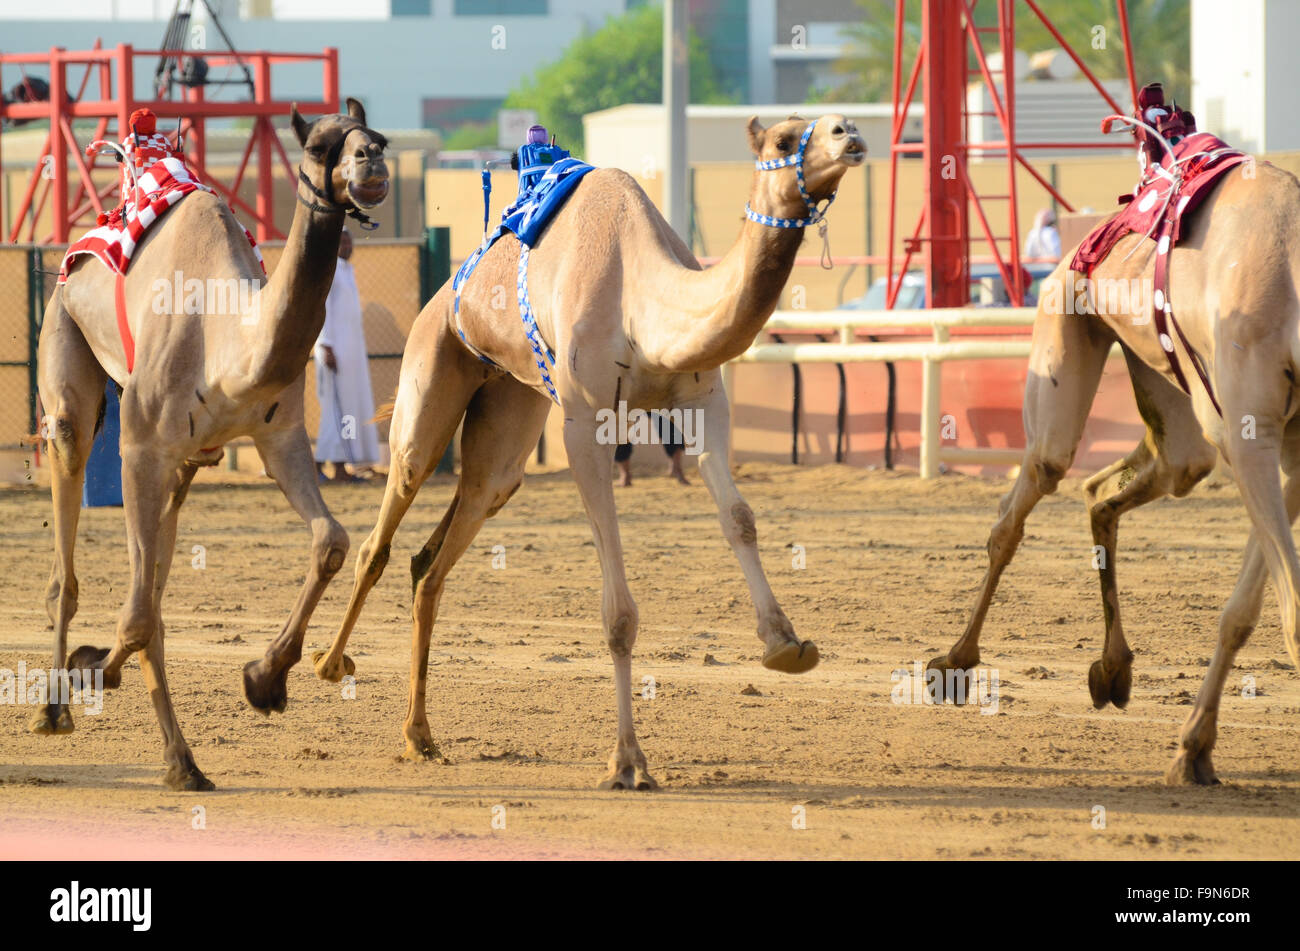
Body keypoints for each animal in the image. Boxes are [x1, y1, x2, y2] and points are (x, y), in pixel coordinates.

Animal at [32, 98, 389, 790]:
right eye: (319, 147)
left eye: (376, 136)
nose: (372, 163)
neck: (228, 339)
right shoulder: (141, 446)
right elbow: (139, 614)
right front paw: (104, 687)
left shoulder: (278, 435)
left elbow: (330, 541)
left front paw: (265, 681)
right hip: (66, 347)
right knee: (74, 536)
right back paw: (56, 707)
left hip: (186, 464)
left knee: (152, 584)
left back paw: (137, 712)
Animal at [310, 115, 865, 788]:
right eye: (784, 140)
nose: (849, 134)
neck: (640, 295)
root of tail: (446, 292)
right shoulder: (582, 421)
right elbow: (618, 609)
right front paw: (627, 762)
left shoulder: (705, 399)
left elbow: (739, 517)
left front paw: (785, 644)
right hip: (432, 370)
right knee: (387, 521)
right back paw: (325, 666)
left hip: (509, 415)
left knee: (441, 546)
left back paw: (420, 735)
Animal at [926, 150, 1300, 784]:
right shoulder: (1252, 430)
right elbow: (1289, 610)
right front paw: (1192, 751)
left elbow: (1247, 609)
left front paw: (1195, 748)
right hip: (1065, 319)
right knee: (1027, 494)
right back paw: (954, 662)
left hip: (1162, 383)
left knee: (1115, 488)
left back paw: (1112, 668)